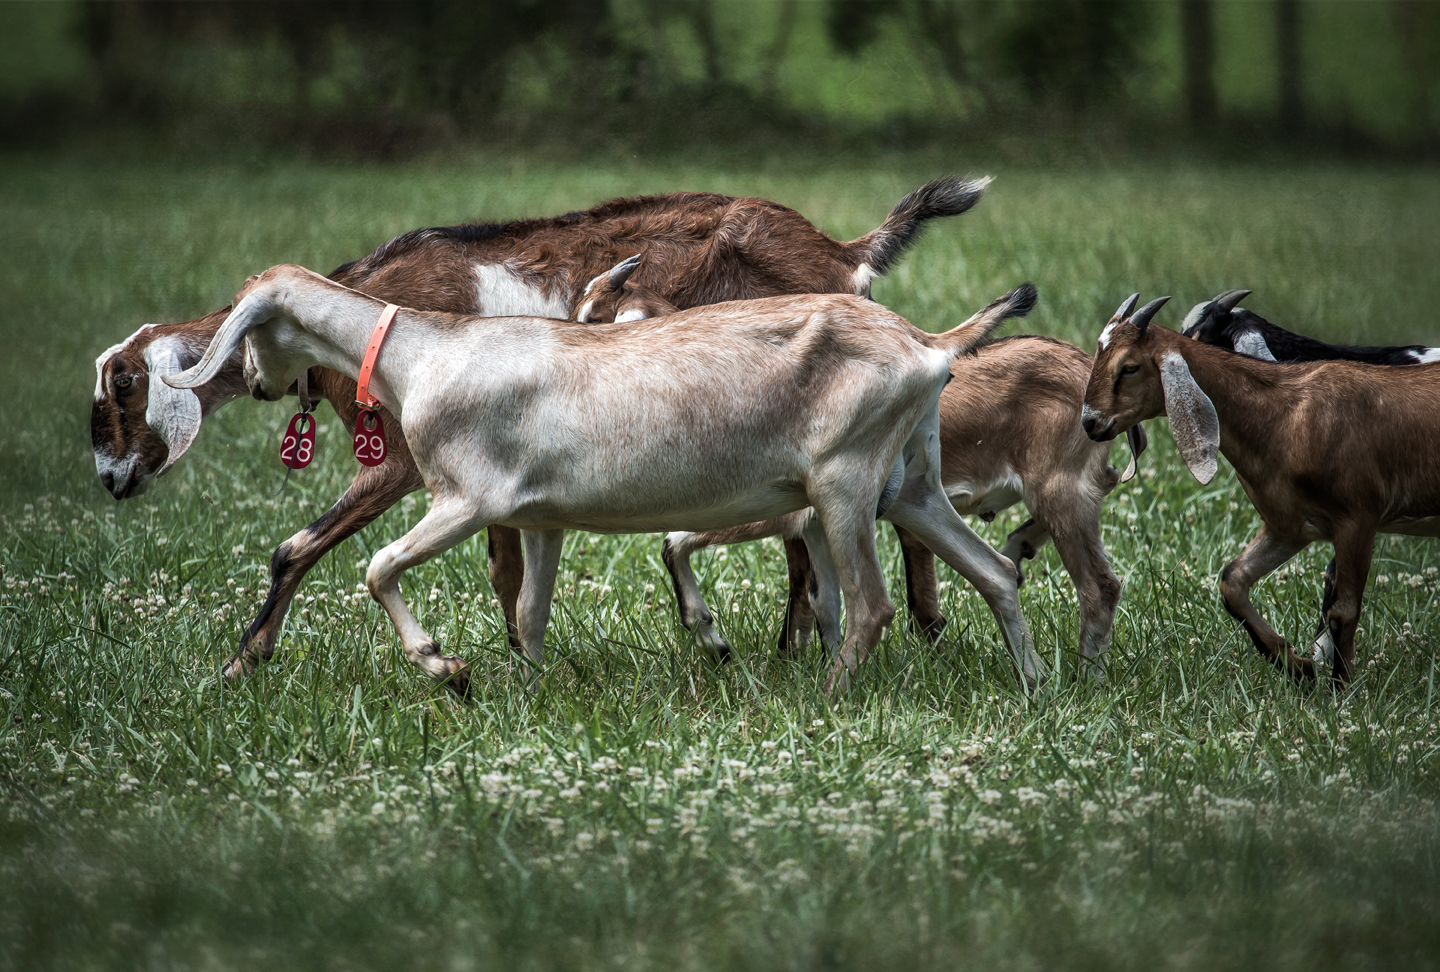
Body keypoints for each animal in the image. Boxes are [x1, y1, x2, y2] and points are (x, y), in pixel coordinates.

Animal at [92, 178, 991, 680]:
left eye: (125, 384)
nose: (110, 479)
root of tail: (844, 250)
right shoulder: (501, 476)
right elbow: (508, 572)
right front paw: (516, 661)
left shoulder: (406, 464)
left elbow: (298, 546)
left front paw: (243, 661)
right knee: (839, 525)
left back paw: (875, 633)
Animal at [572, 259, 1124, 677]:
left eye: (596, 318)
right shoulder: (813, 526)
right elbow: (824, 602)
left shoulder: (773, 512)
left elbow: (675, 542)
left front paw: (718, 642)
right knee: (1004, 568)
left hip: (1056, 492)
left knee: (1099, 586)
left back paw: (1086, 677)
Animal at [1080, 294, 1440, 687]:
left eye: (1129, 367)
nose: (1089, 421)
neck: (1285, 416)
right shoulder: (1290, 526)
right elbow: (1232, 581)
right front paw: (1298, 666)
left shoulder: (1357, 519)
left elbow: (1342, 609)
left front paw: (1341, 689)